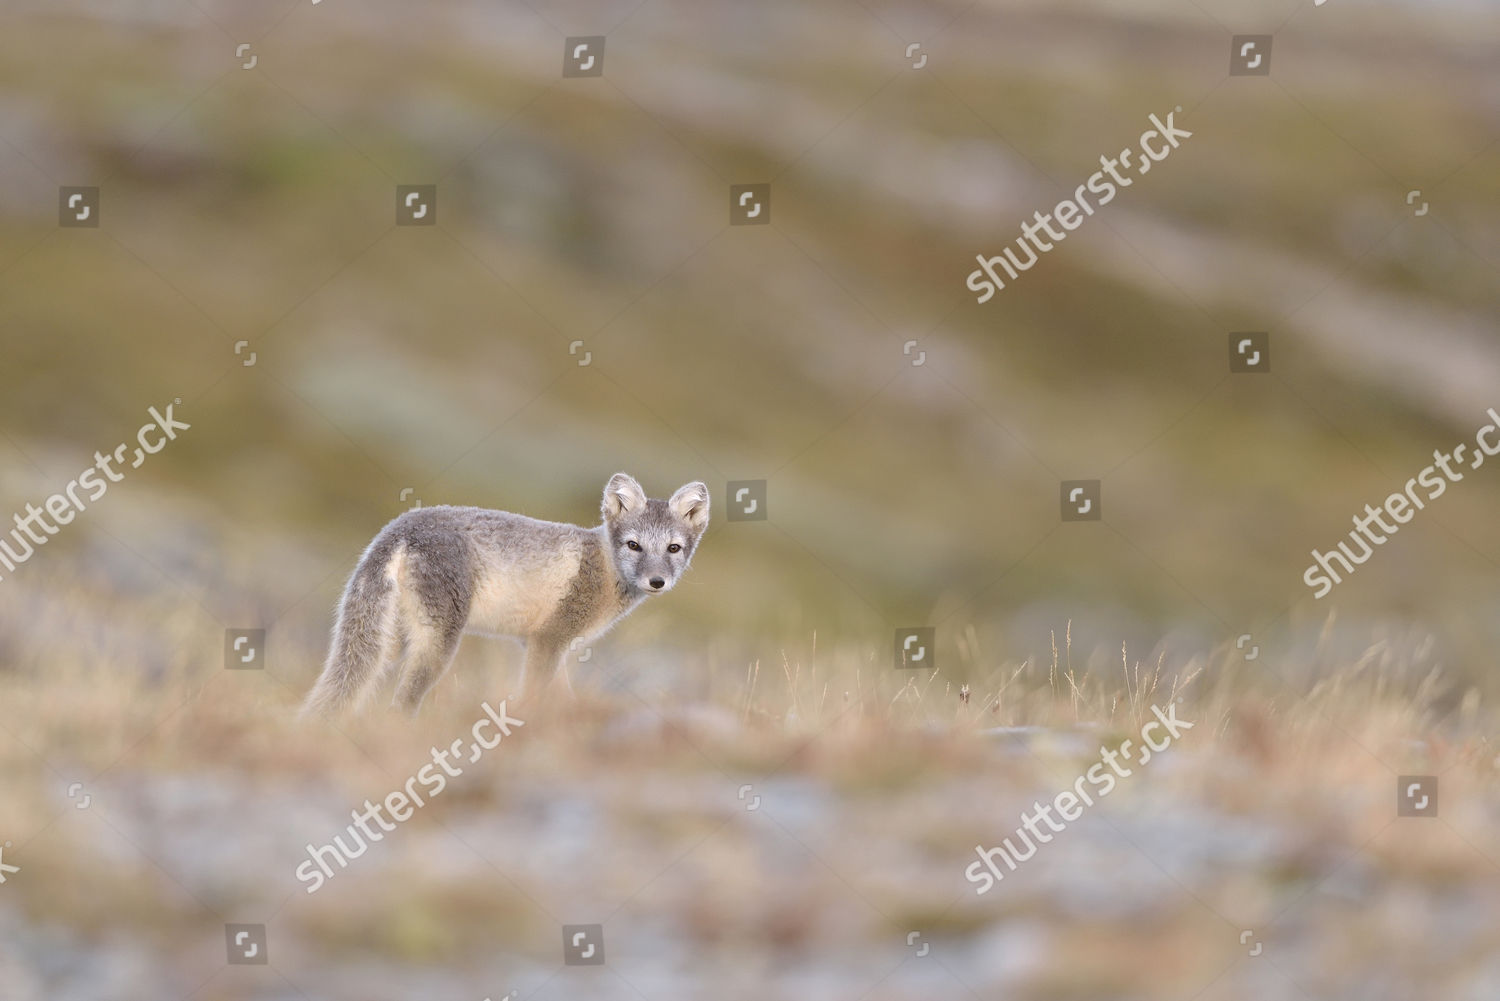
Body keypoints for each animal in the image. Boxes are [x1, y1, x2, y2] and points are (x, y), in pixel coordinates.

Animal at [300, 473, 709, 718]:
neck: (606, 568)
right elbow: (534, 694)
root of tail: (398, 530)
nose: (657, 581)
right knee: (402, 701)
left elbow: (561, 696)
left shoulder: (539, 644)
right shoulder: (550, 640)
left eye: (673, 548)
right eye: (633, 545)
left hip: (388, 638)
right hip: (438, 640)